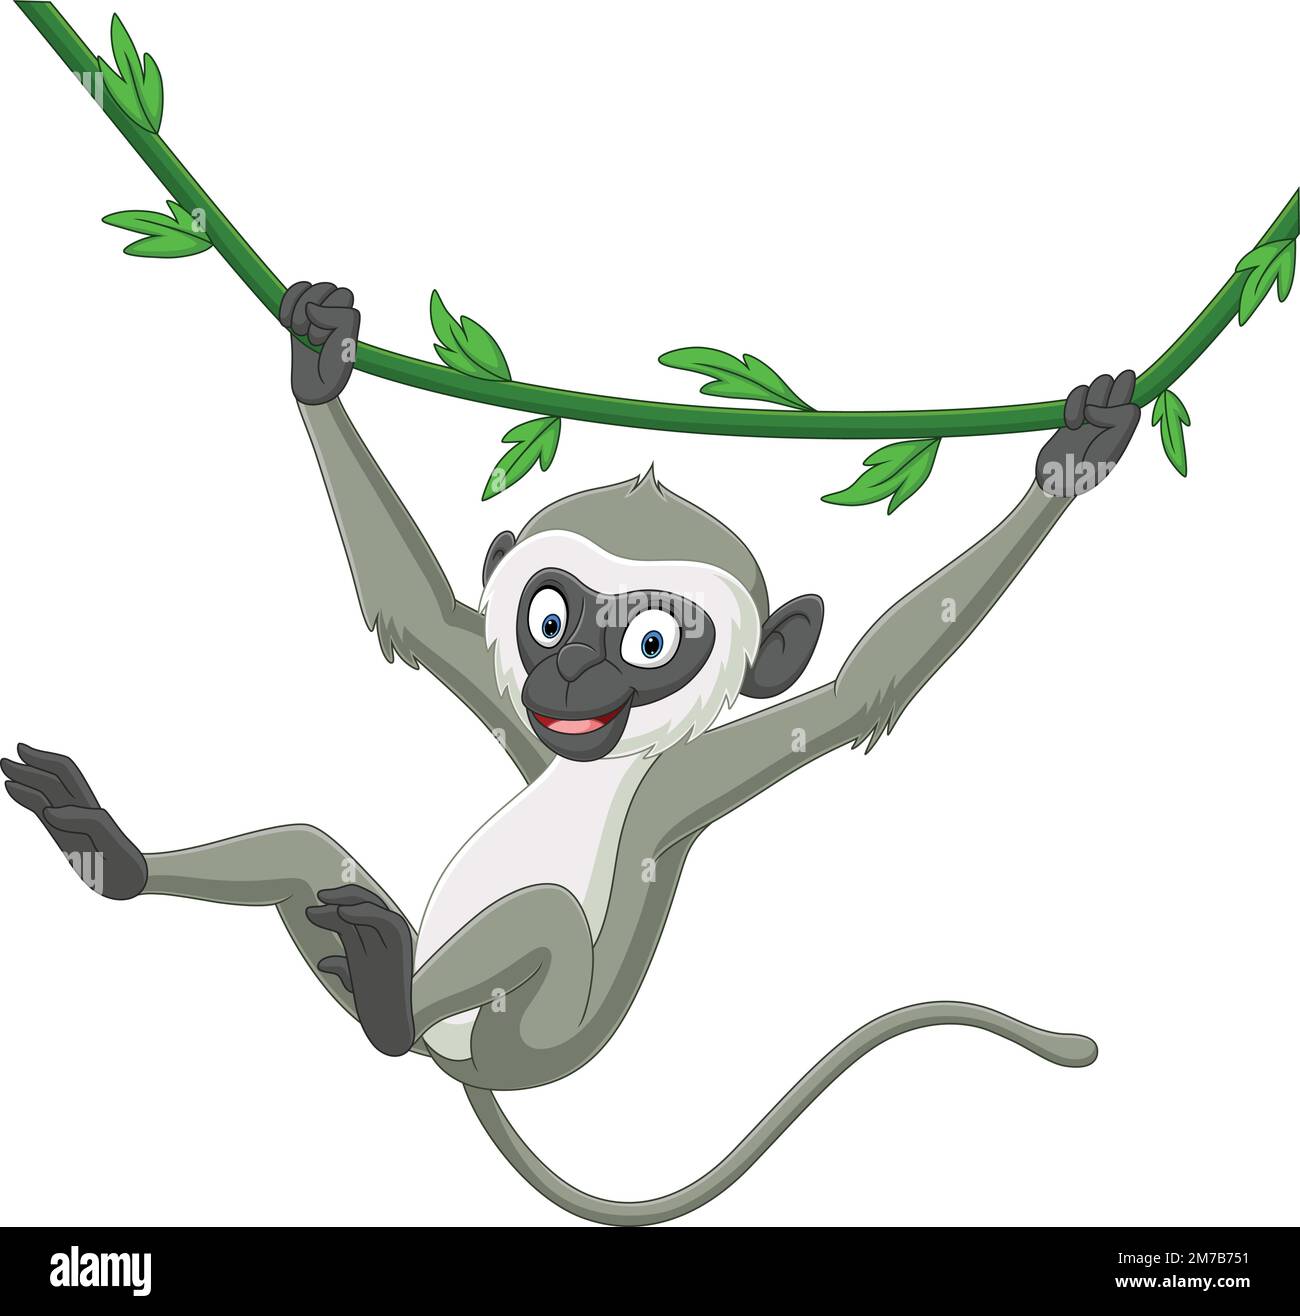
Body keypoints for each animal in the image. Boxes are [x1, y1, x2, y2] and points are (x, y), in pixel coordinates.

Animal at [3, 279, 1142, 1225]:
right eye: (549, 620)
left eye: (650, 643)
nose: (570, 682)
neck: (594, 767)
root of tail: (459, 1066)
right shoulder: (520, 731)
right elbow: (416, 613)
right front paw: (319, 356)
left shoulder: (686, 781)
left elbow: (862, 685)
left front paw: (1076, 454)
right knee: (307, 856)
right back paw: (117, 859)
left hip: (534, 1037)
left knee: (536, 917)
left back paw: (386, 998)